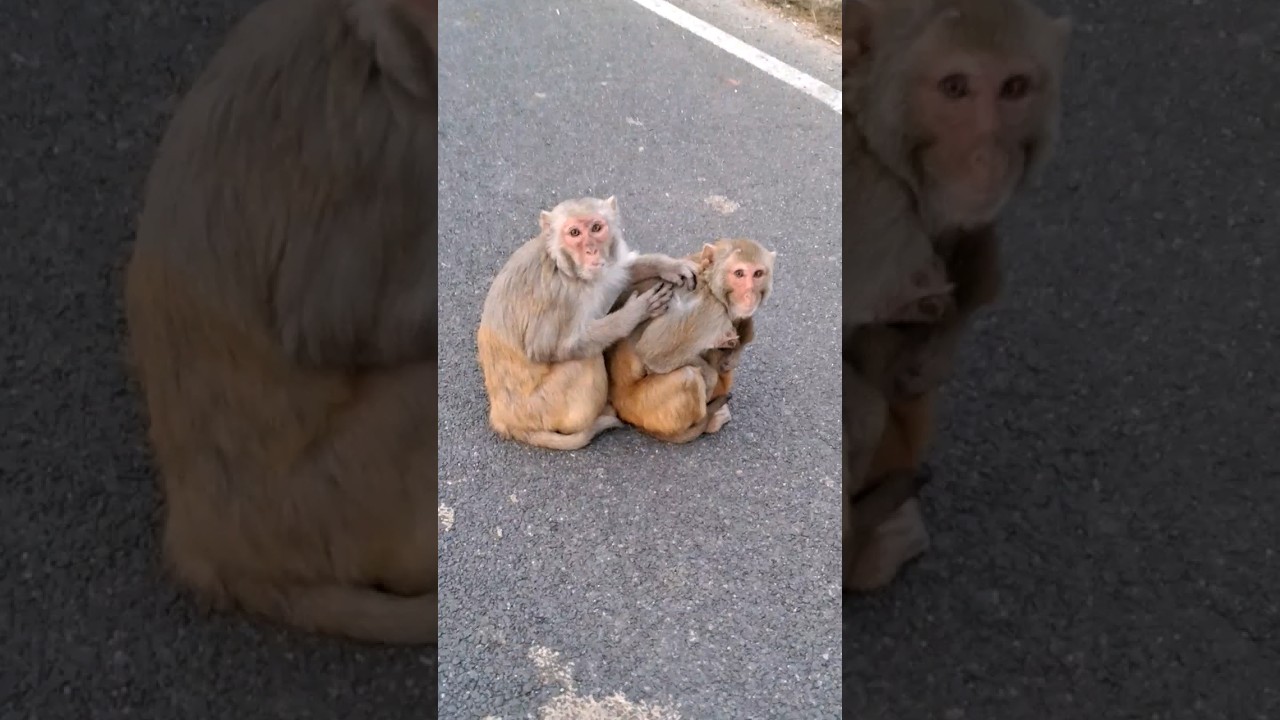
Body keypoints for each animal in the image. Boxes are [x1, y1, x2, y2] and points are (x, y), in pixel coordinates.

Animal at [476, 196, 699, 451]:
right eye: (574, 233)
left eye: (596, 228)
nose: (591, 250)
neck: (565, 268)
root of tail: (502, 417)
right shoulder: (559, 296)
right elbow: (548, 348)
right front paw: (635, 312)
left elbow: (618, 274)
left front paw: (669, 265)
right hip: (541, 408)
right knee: (583, 360)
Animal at [605, 238, 775, 444]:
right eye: (739, 273)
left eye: (758, 273)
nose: (750, 294)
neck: (710, 284)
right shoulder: (709, 312)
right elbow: (652, 353)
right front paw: (712, 374)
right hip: (641, 407)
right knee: (688, 376)